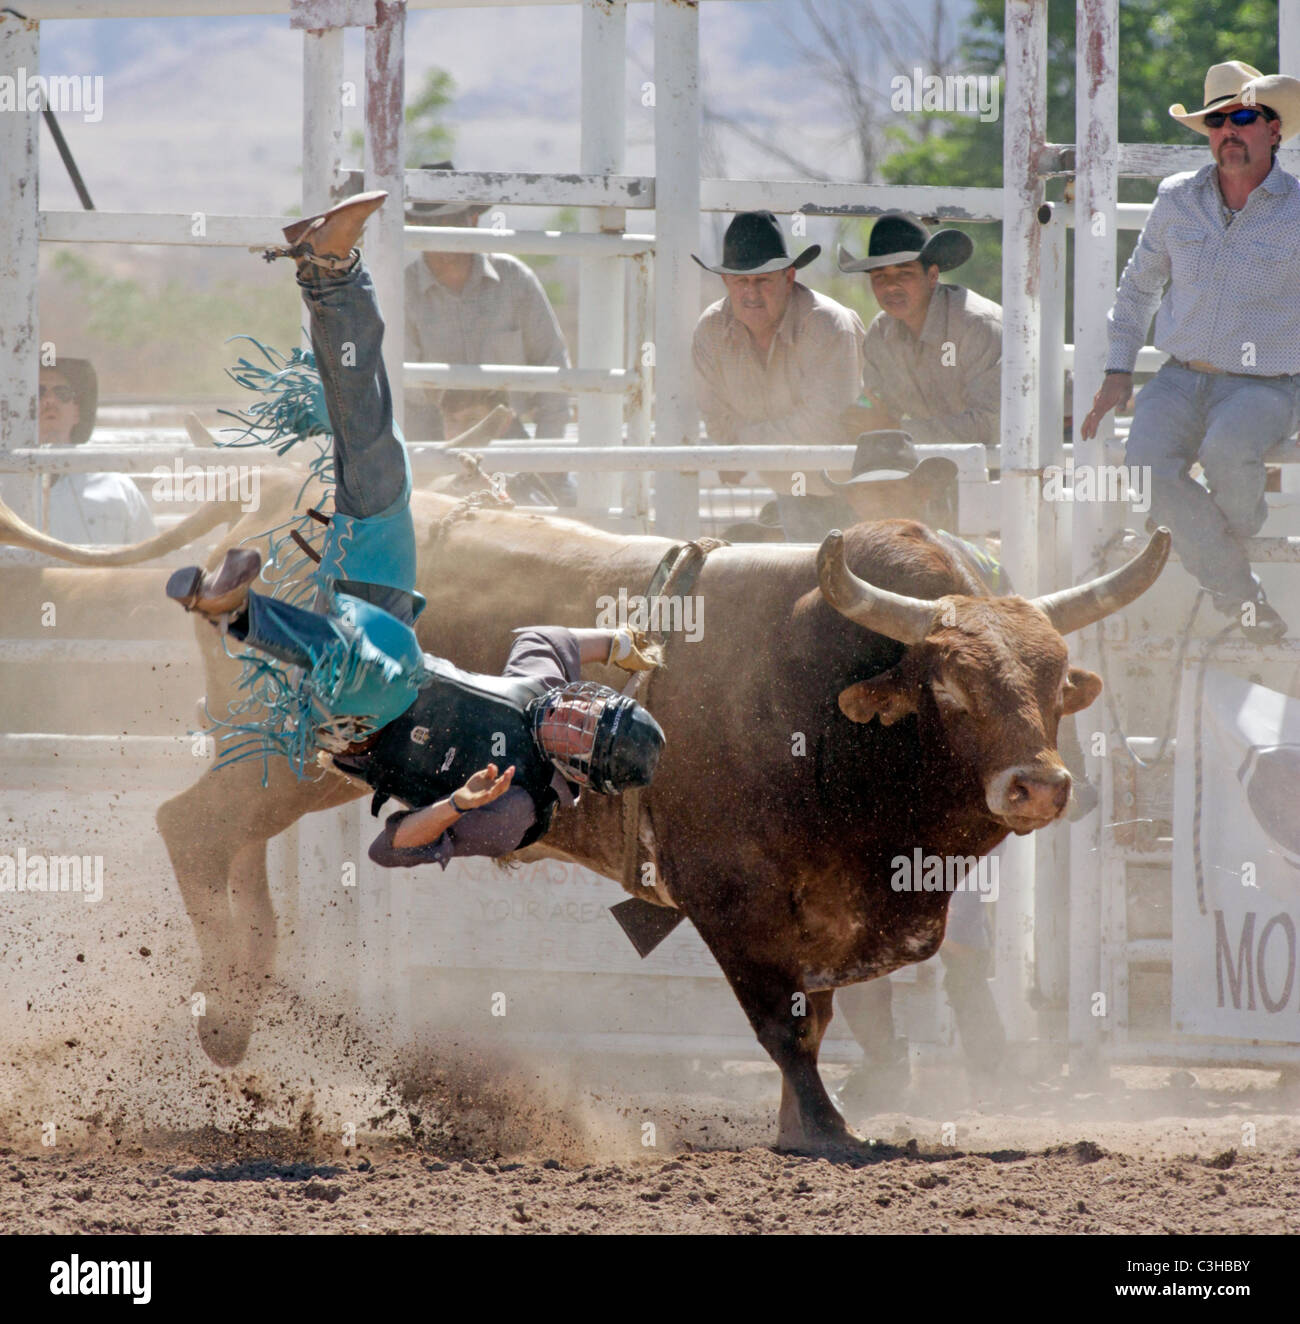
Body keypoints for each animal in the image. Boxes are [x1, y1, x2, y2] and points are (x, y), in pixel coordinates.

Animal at [0, 476, 1168, 1156]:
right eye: (955, 690)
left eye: (1054, 682)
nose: (1039, 785)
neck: (823, 696)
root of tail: (272, 521)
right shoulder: (727, 898)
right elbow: (782, 1023)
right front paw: (827, 1128)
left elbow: (820, 1013)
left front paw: (801, 1123)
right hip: (284, 754)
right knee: (192, 827)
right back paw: (230, 1014)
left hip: (298, 766)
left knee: (228, 841)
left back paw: (244, 989)